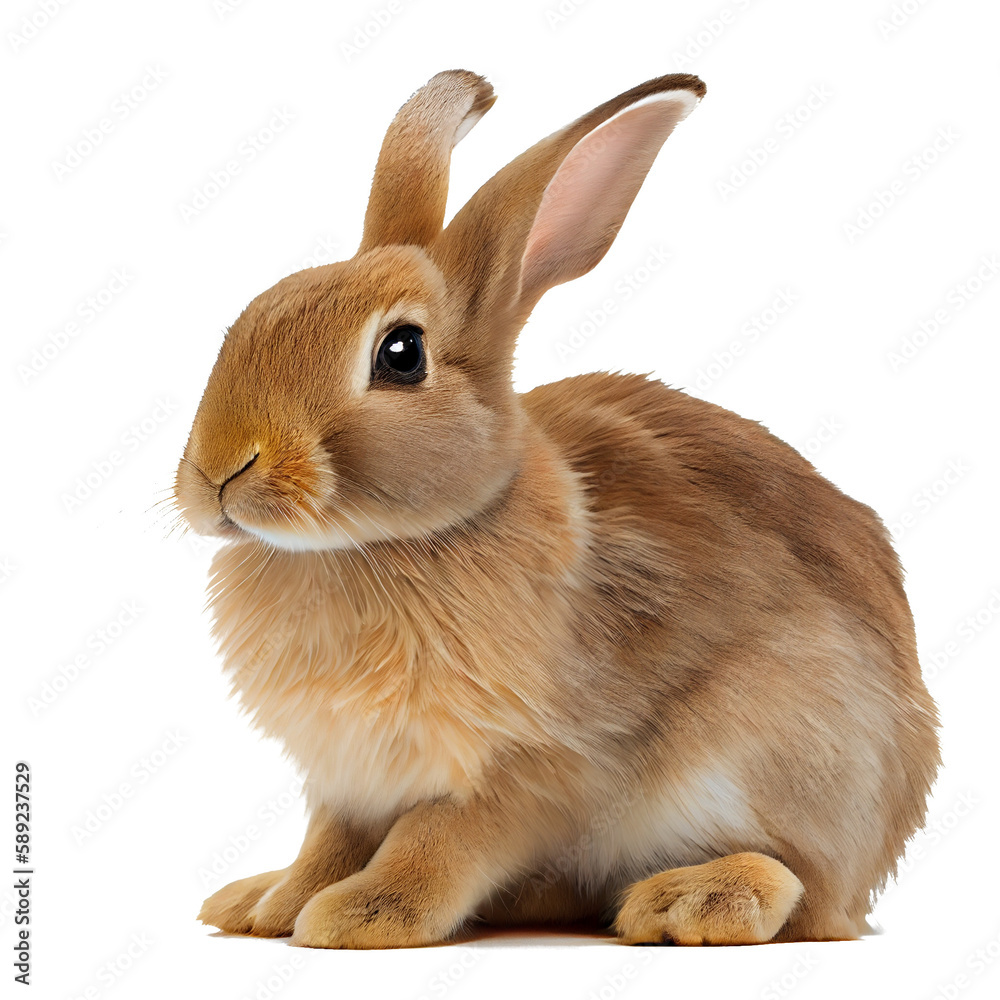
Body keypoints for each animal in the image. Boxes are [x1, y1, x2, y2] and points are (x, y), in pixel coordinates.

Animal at [175, 69, 940, 949]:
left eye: (400, 355)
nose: (218, 472)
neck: (383, 544)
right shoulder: (348, 781)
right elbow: (328, 843)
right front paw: (278, 904)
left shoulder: (536, 766)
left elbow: (438, 839)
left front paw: (360, 916)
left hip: (773, 748)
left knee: (801, 887)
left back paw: (687, 902)